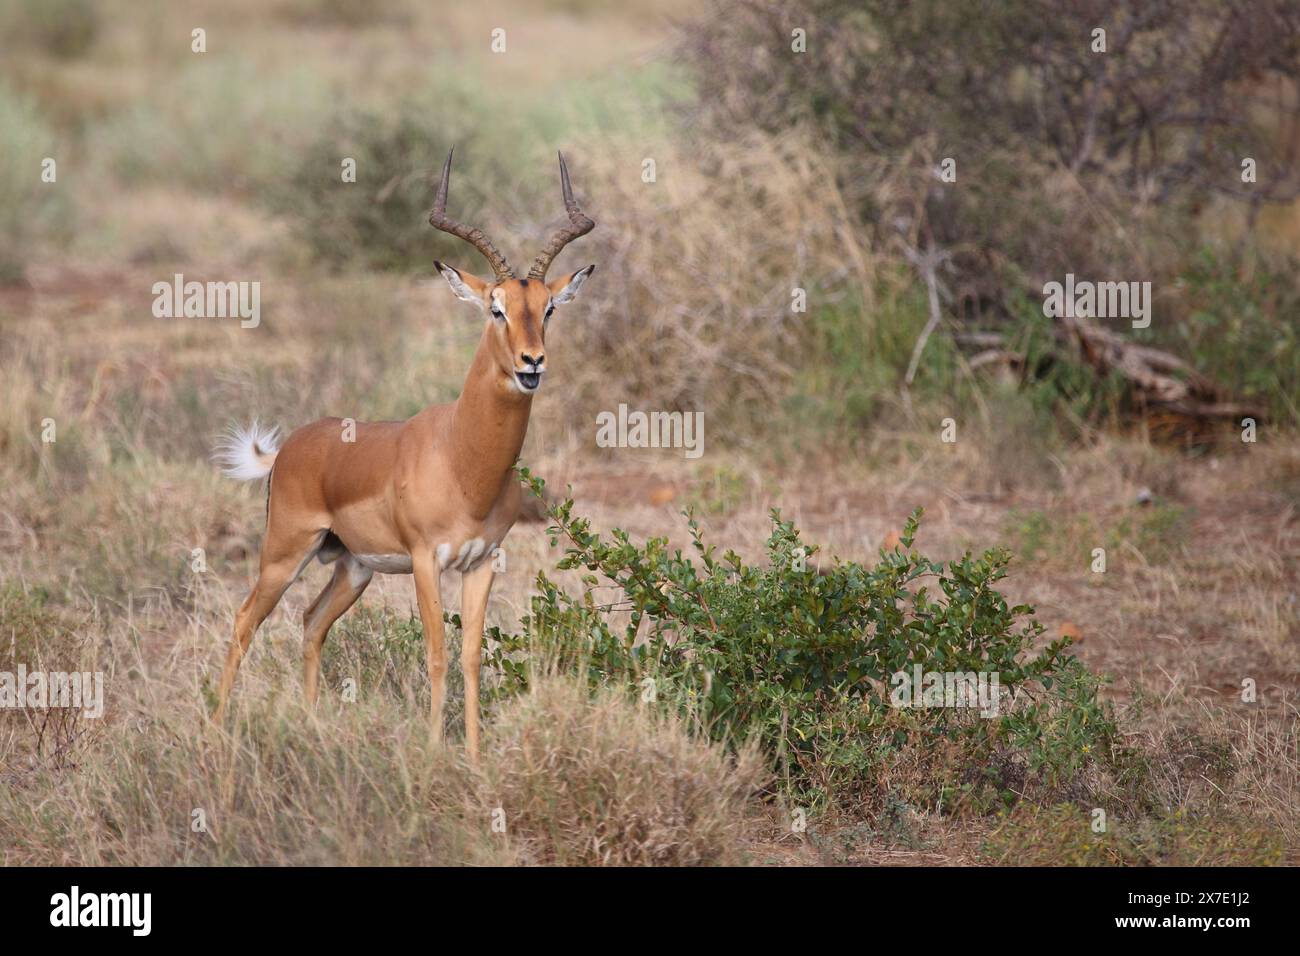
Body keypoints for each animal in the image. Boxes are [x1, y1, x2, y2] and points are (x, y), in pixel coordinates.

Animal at [212, 149, 595, 761]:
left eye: (549, 308)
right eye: (495, 308)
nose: (532, 362)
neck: (465, 463)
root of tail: (290, 448)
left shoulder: (482, 562)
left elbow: (471, 656)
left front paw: (473, 756)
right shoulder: (424, 560)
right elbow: (436, 653)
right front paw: (436, 752)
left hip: (352, 568)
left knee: (310, 622)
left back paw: (312, 725)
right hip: (284, 554)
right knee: (246, 619)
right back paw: (216, 732)